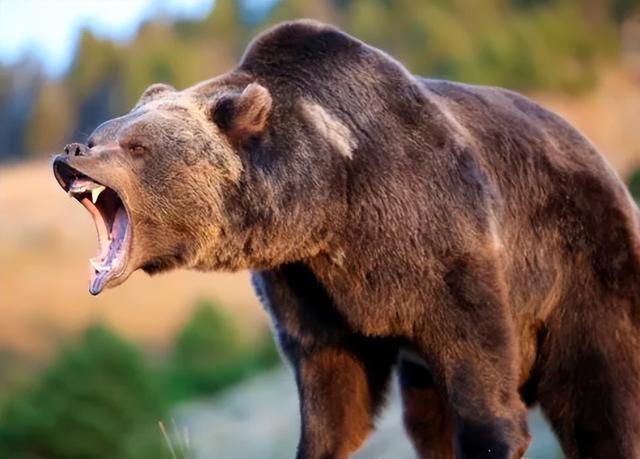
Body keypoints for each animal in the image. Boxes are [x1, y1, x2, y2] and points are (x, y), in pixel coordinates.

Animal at [53, 20, 640, 459]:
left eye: (136, 146)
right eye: (100, 134)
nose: (71, 153)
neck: (330, 202)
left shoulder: (442, 238)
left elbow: (478, 366)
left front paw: (495, 436)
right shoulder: (309, 286)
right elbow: (335, 397)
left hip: (584, 267)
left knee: (600, 399)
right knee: (427, 417)